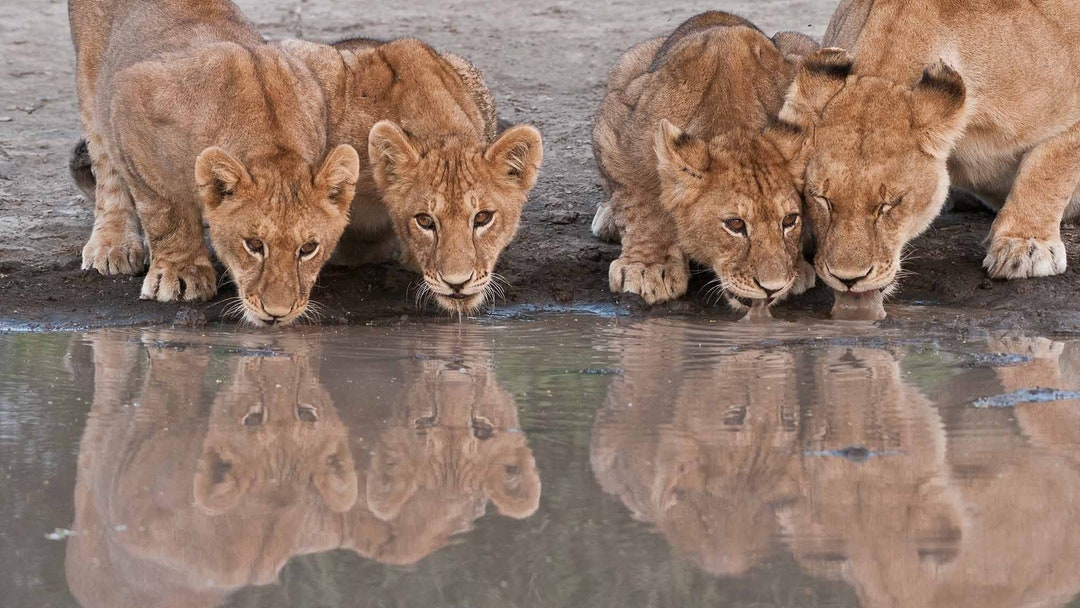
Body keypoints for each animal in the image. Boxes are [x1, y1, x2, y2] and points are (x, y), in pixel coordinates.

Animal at [69, 0, 361, 326]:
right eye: (254, 244)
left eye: (308, 248)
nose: (277, 314)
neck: (271, 140)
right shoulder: (131, 99)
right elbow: (166, 212)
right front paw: (180, 275)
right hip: (91, 81)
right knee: (106, 167)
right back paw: (112, 246)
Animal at [591, 11, 818, 311]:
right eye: (735, 224)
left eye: (790, 220)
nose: (773, 287)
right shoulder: (617, 130)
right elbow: (643, 202)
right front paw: (649, 266)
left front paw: (798, 266)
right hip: (630, 66)